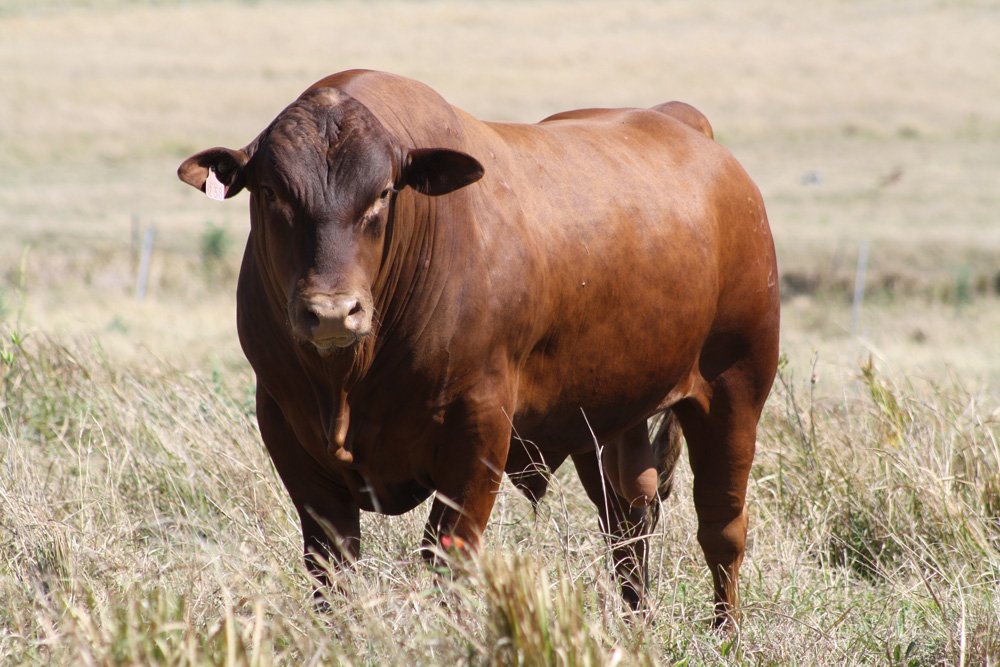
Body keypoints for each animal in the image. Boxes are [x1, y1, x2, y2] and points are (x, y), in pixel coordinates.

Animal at [177, 69, 779, 627]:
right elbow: (332, 568)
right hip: (608, 416)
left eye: (383, 194)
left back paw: (726, 633)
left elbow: (448, 557)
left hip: (735, 388)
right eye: (271, 193)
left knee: (721, 525)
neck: (348, 383)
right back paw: (637, 623)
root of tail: (680, 121)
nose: (331, 312)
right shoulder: (287, 430)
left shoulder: (478, 429)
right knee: (629, 517)